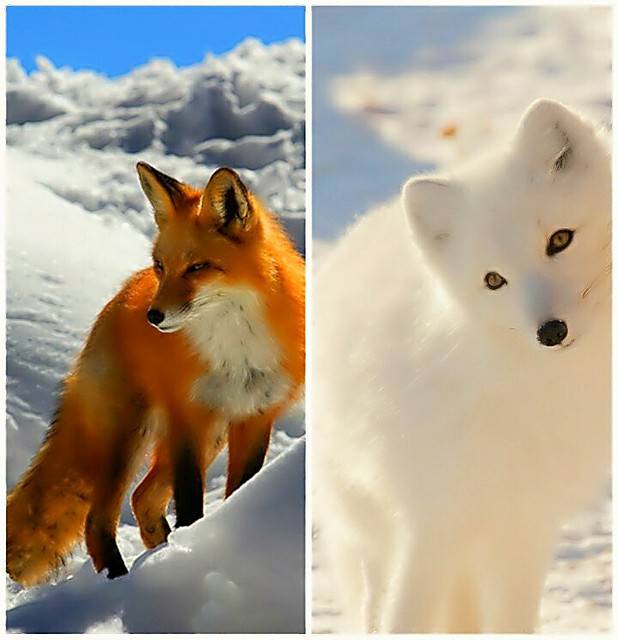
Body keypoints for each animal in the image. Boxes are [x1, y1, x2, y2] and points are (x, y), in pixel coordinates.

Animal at [7, 163, 305, 586]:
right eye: (162, 266)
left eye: (198, 267)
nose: (153, 317)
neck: (235, 349)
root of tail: (119, 299)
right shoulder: (187, 417)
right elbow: (190, 503)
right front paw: (192, 550)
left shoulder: (255, 415)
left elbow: (241, 488)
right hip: (128, 437)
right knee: (98, 521)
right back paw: (118, 581)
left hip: (209, 436)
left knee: (143, 499)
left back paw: (156, 552)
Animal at [313, 99, 610, 632]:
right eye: (494, 280)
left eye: (560, 239)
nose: (551, 331)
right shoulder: (431, 521)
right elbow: (404, 619)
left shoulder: (527, 524)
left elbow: (513, 622)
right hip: (375, 522)